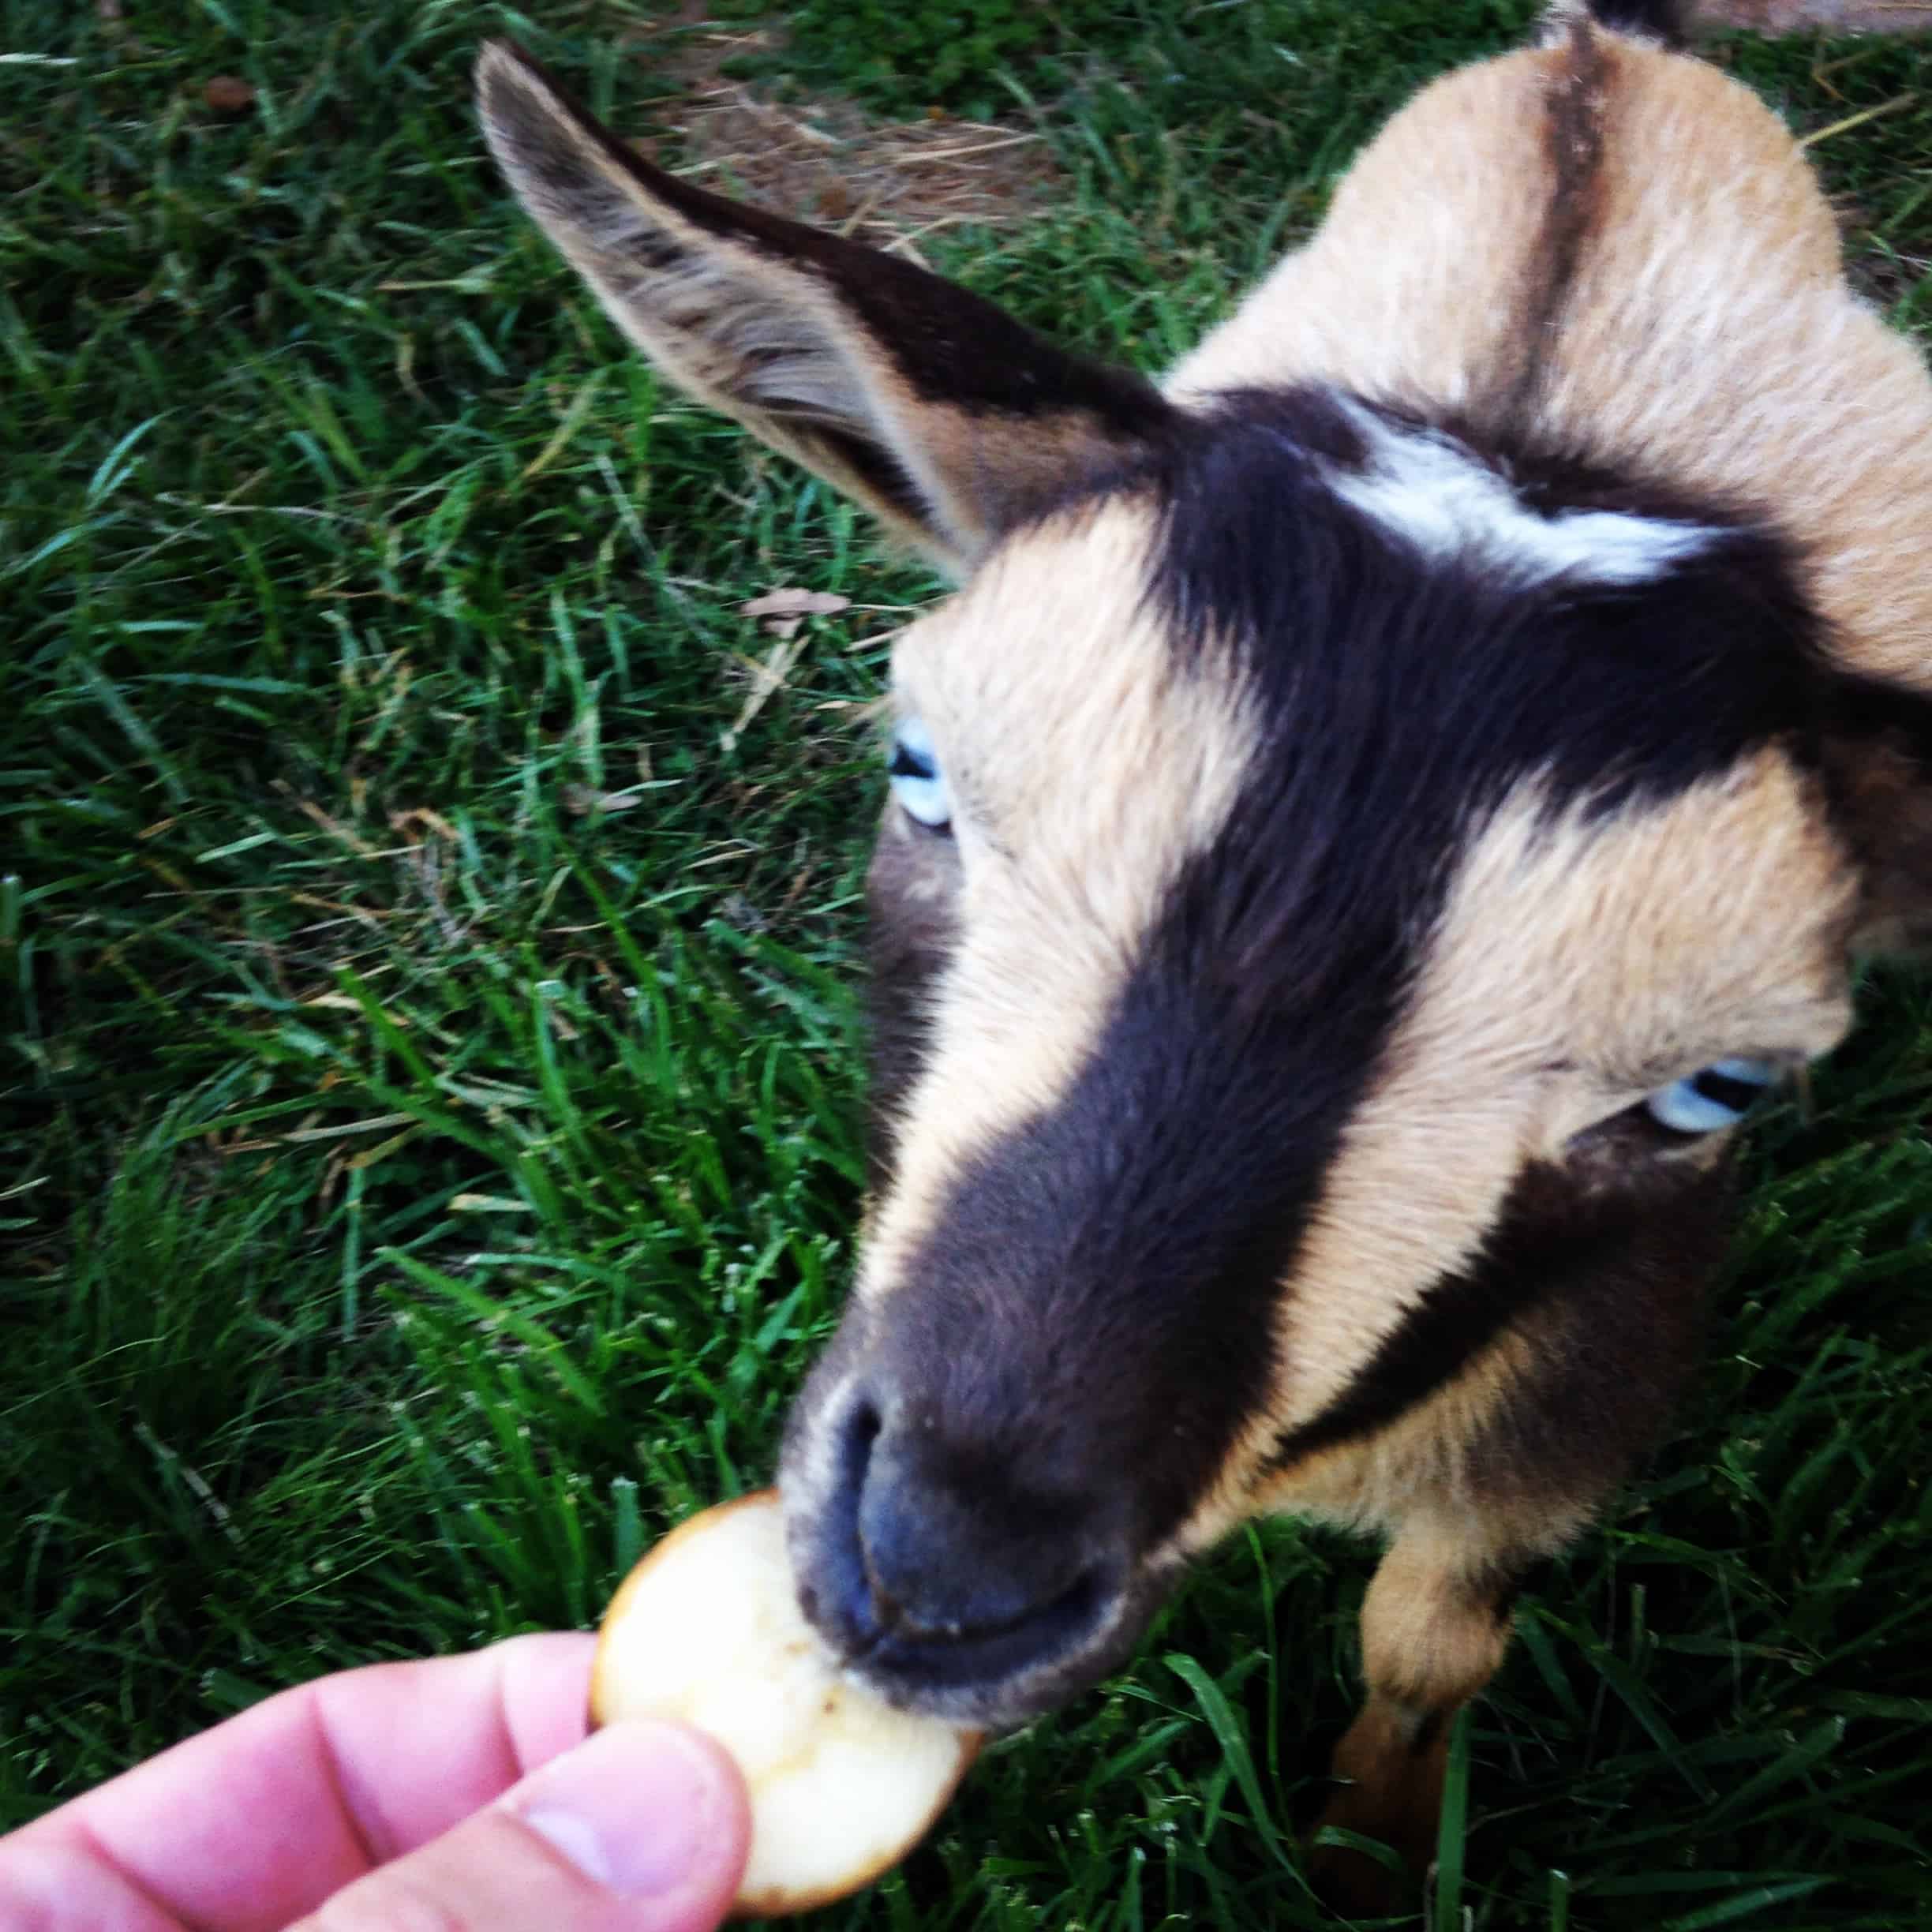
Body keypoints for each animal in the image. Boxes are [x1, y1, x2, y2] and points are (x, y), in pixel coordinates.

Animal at [477, 0, 1932, 1903]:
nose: (945, 1569)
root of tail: (1600, 52)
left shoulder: (1600, 1358)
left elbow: (1434, 1636)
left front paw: (1367, 1855)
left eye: (1713, 1088)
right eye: (922, 774)